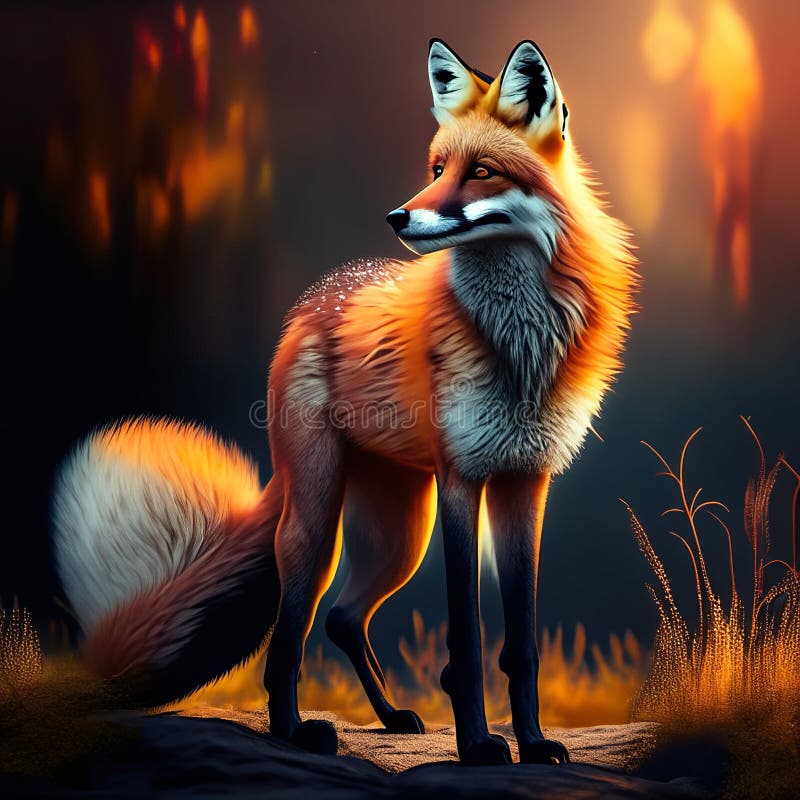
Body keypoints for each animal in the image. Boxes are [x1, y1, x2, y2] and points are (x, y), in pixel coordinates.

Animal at [53, 39, 636, 766]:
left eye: (480, 172)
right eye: (436, 169)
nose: (398, 216)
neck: (519, 344)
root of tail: (307, 304)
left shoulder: (525, 484)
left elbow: (520, 645)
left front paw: (531, 743)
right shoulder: (462, 481)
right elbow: (467, 639)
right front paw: (478, 745)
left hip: (397, 536)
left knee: (342, 618)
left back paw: (389, 717)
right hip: (318, 521)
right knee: (288, 643)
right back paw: (296, 732)